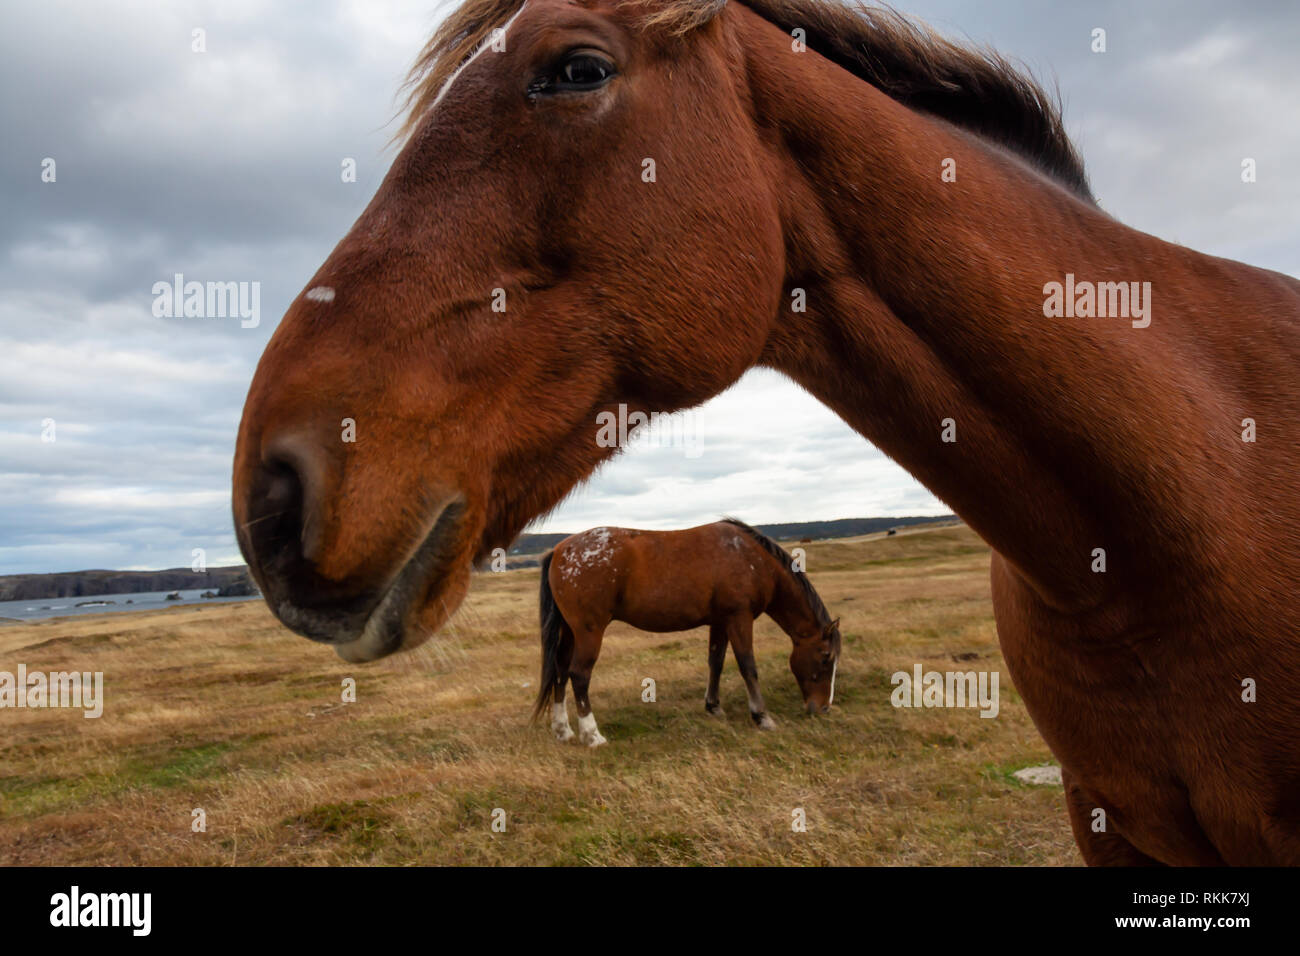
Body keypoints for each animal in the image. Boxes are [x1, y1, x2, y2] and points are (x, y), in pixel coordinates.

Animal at [533, 520, 842, 746]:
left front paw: (713, 706)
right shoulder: (739, 619)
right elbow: (748, 666)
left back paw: (563, 730)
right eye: (826, 657)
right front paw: (761, 716)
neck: (751, 558)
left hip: (569, 632)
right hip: (589, 631)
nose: (823, 707)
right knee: (579, 675)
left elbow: (716, 662)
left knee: (560, 672)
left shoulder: (720, 622)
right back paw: (591, 734)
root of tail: (558, 551)